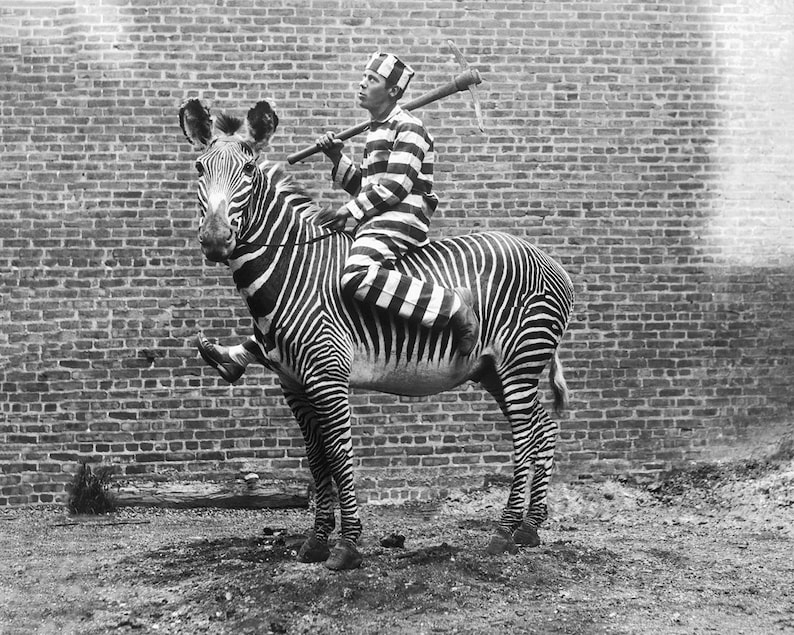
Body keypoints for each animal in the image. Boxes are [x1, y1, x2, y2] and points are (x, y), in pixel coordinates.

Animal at [179, 98, 575, 570]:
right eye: (199, 167)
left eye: (250, 171)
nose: (215, 240)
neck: (291, 270)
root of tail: (547, 257)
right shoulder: (293, 384)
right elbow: (316, 461)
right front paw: (315, 542)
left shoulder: (327, 378)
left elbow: (339, 454)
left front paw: (347, 545)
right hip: (495, 369)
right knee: (544, 428)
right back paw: (529, 527)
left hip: (519, 363)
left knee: (527, 436)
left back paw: (504, 531)